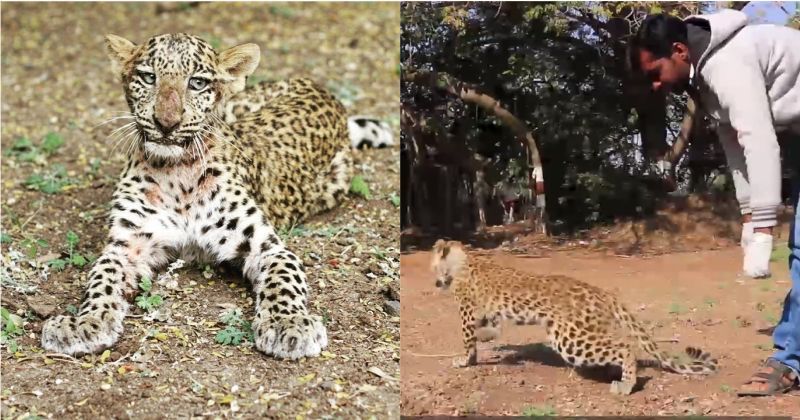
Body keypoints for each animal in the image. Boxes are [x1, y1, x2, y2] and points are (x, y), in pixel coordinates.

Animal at [40, 32, 391, 360]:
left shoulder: (266, 247)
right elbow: (101, 278)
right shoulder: (128, 246)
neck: (176, 175)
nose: (166, 123)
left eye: (197, 83)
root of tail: (318, 88)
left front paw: (287, 325)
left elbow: (283, 281)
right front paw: (84, 322)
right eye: (148, 77)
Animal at [430, 239, 718, 395]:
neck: (461, 262)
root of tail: (604, 293)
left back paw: (625, 385)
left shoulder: (466, 311)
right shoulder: (490, 313)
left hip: (569, 337)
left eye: (432, 266)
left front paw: (465, 360)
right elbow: (492, 329)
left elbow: (468, 340)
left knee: (624, 346)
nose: (435, 282)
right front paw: (487, 339)